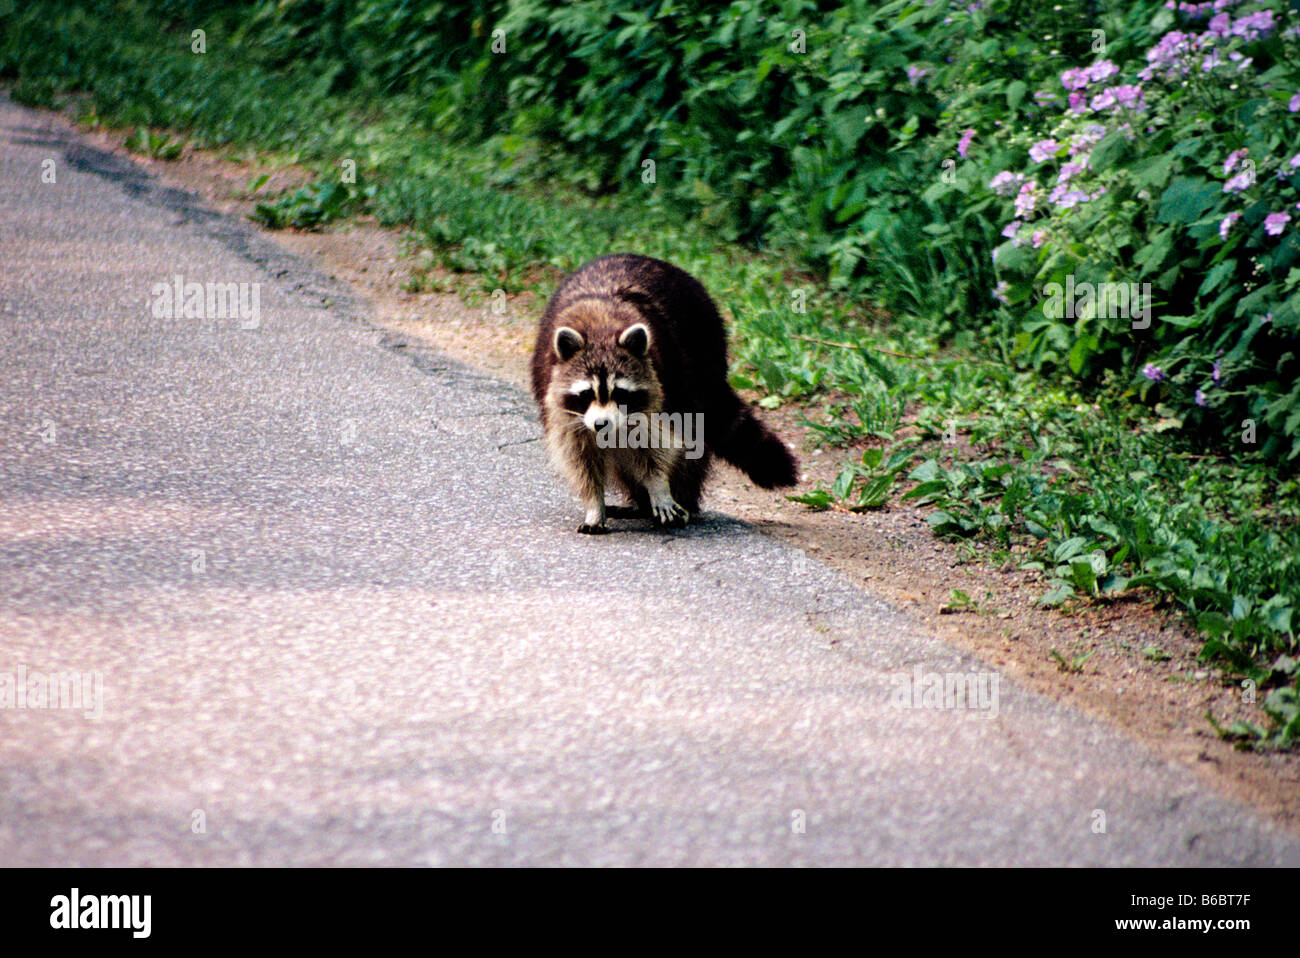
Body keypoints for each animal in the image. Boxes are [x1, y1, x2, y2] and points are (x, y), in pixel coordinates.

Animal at [530, 253, 799, 533]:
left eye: (620, 393)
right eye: (586, 394)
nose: (602, 425)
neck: (599, 326)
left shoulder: (661, 384)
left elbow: (656, 443)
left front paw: (658, 486)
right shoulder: (562, 404)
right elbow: (580, 455)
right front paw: (594, 502)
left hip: (703, 347)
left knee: (693, 435)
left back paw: (682, 498)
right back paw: (639, 504)